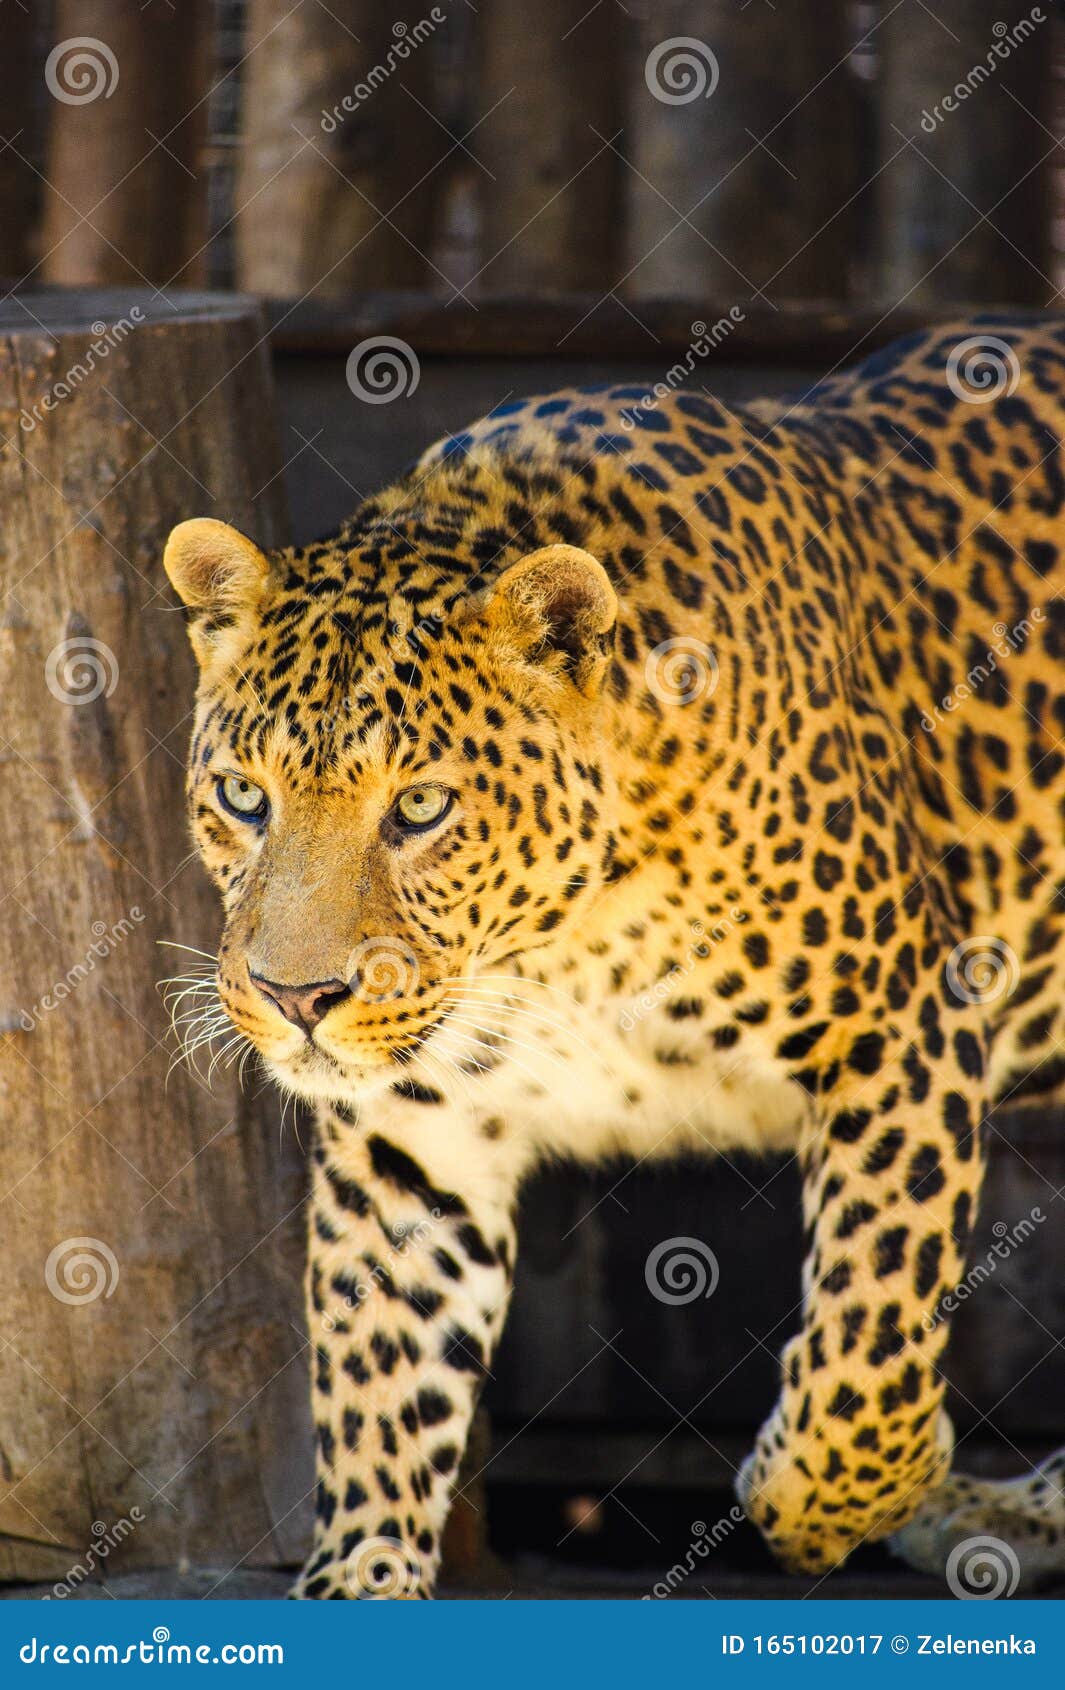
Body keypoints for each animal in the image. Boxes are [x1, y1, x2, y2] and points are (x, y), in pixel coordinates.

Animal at [163, 315, 1065, 1599]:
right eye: (244, 796)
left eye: (421, 807)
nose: (298, 997)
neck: (560, 949)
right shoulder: (413, 1134)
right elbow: (380, 1382)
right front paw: (357, 1578)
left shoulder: (904, 1026)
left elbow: (870, 1342)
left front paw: (820, 1492)